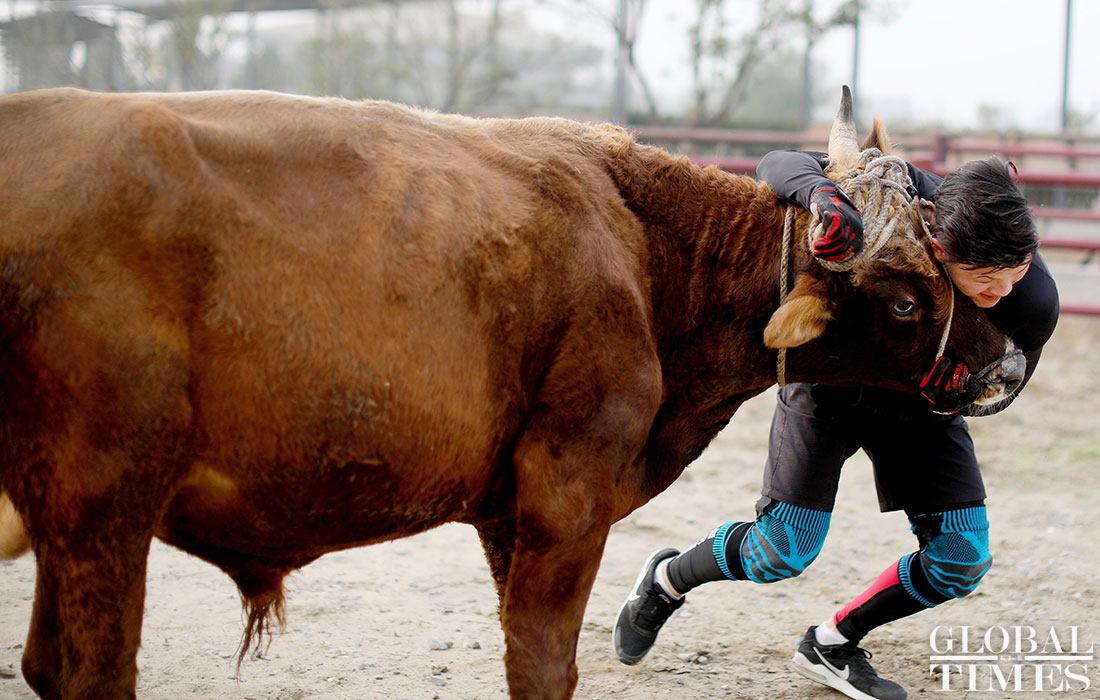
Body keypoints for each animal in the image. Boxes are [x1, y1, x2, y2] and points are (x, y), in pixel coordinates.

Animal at [0, 86, 1022, 700]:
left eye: (946, 257)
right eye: (905, 298)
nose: (1007, 366)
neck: (642, 244)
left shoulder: (506, 510)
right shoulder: (568, 490)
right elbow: (543, 662)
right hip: (101, 507)